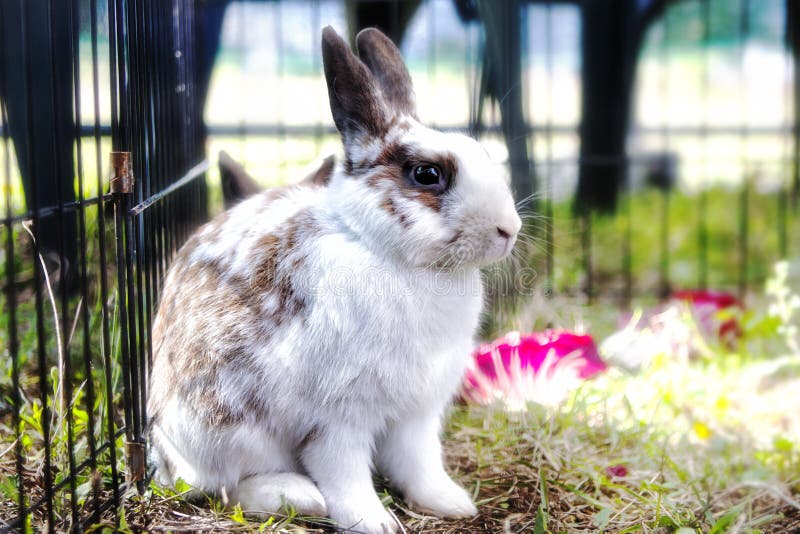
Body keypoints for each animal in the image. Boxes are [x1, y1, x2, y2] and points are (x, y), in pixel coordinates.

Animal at [147, 26, 522, 533]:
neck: (392, 256)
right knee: (224, 487)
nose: (508, 229)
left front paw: (449, 502)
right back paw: (297, 496)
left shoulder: (417, 413)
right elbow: (344, 474)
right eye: (427, 174)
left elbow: (419, 463)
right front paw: (373, 521)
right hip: (222, 432)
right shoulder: (337, 417)